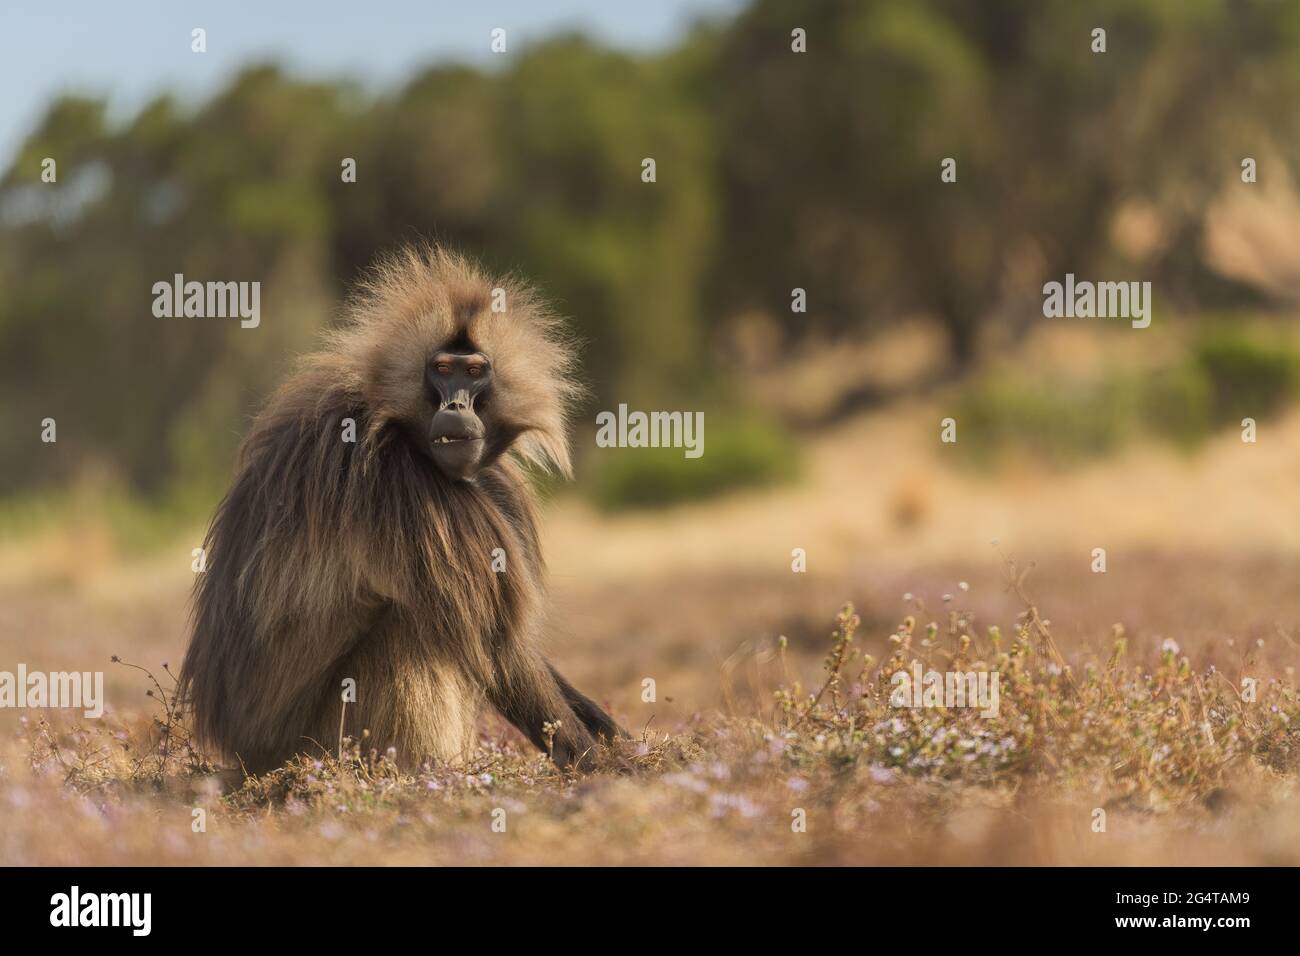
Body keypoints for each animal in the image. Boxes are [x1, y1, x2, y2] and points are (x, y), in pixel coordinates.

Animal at [178, 245, 627, 775]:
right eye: (442, 370)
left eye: (474, 371)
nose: (456, 407)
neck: (399, 425)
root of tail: (244, 756)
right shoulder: (401, 487)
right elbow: (497, 645)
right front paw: (608, 768)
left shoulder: (492, 485)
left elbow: (510, 644)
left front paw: (611, 732)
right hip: (318, 742)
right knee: (408, 625)